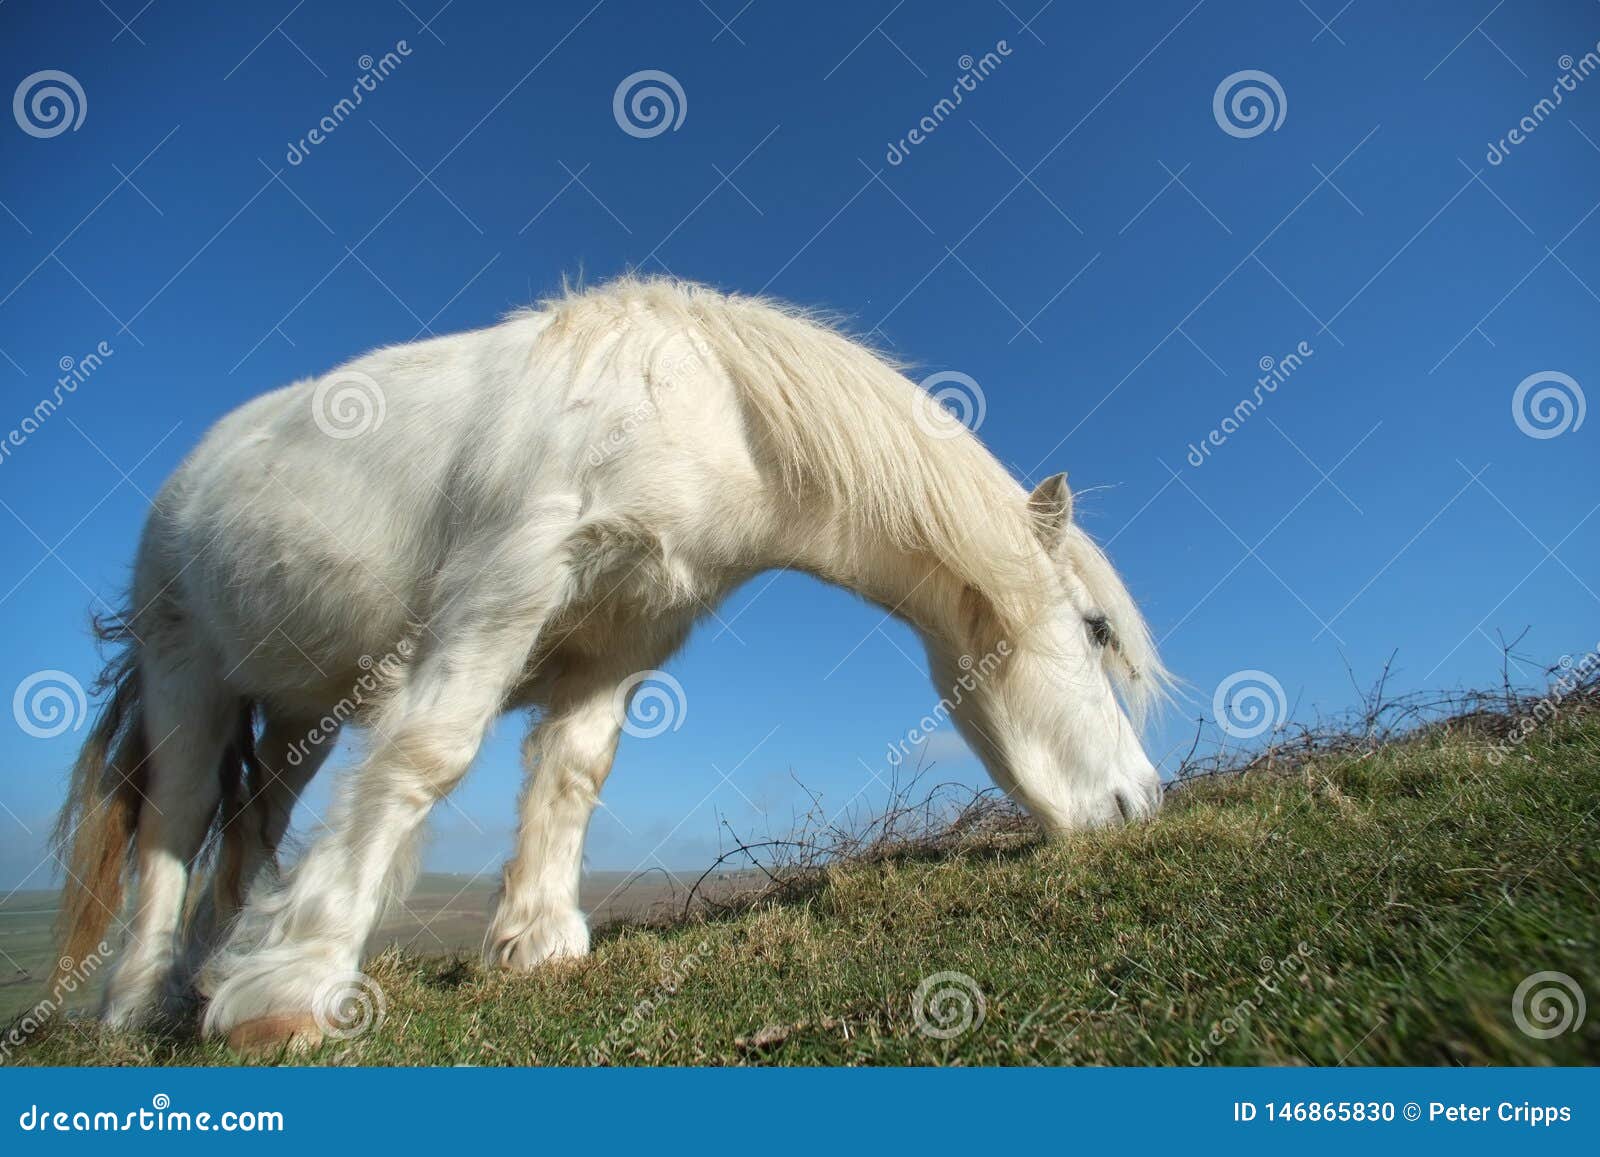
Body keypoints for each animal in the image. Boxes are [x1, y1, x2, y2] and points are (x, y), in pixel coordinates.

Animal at [52, 276, 1169, 1052]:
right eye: (1096, 630)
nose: (1141, 803)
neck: (707, 408)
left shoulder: (628, 636)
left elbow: (573, 773)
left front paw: (535, 943)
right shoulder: (509, 579)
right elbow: (428, 751)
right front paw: (290, 991)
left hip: (295, 712)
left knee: (252, 822)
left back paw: (209, 971)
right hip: (187, 669)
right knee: (176, 822)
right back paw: (140, 1001)